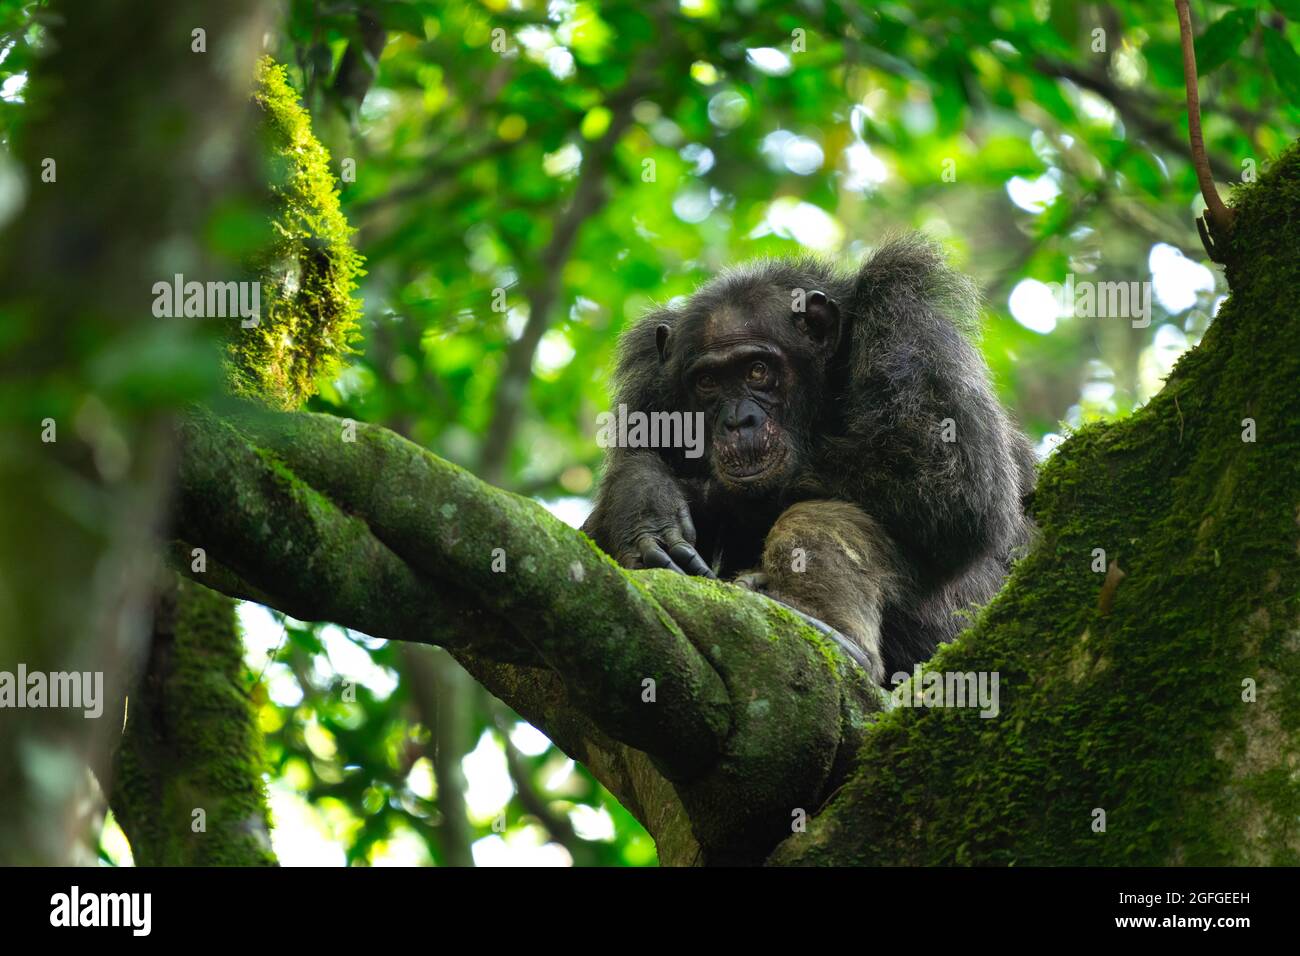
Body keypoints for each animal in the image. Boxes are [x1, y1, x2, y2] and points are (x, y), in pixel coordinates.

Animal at [581, 234, 1037, 684]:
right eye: (708, 381)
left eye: (758, 370)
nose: (737, 420)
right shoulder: (650, 381)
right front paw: (641, 496)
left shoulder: (906, 317)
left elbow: (945, 479)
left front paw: (665, 493)